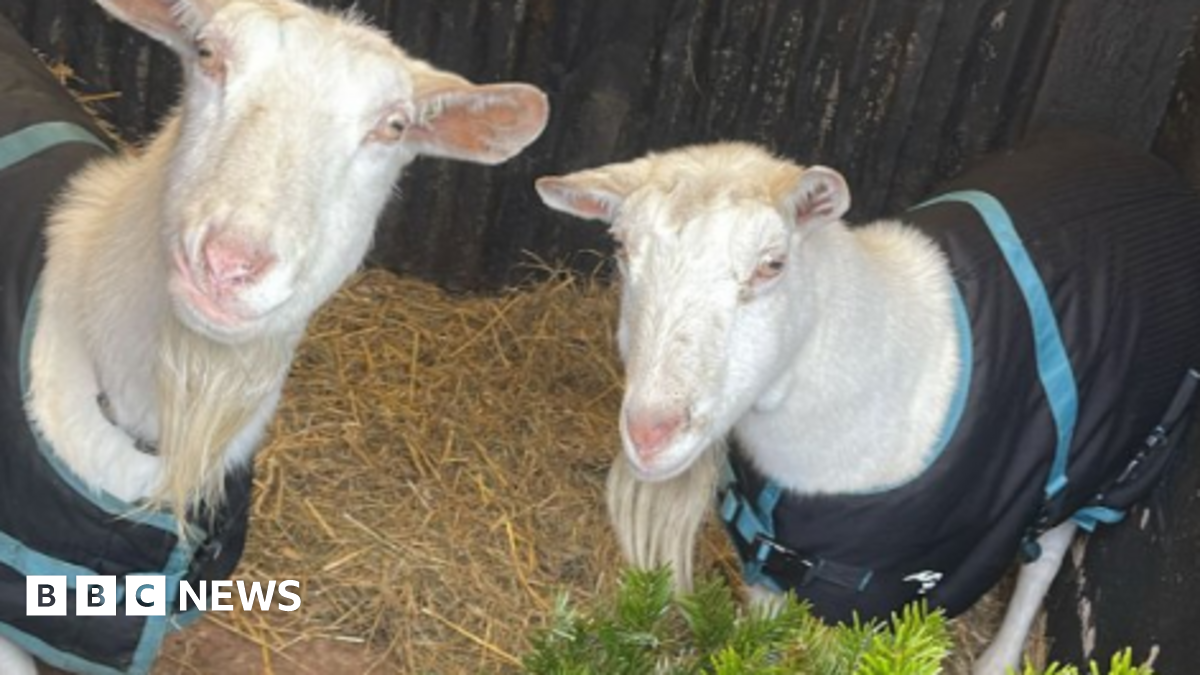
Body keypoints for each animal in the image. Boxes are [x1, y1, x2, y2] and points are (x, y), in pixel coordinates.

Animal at [535, 136, 1200, 674]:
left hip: (1121, 450)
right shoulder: (772, 559)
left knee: (1050, 551)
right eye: (622, 250)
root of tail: (1156, 169)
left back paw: (999, 658)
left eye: (772, 264)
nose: (650, 433)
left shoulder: (890, 592)